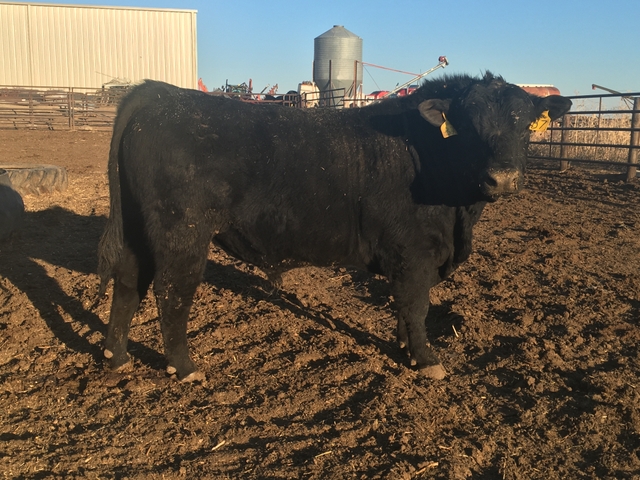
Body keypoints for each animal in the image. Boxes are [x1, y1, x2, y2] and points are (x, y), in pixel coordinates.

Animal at [98, 73, 572, 382]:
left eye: (525, 126)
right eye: (470, 126)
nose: (503, 179)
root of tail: (158, 94)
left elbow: (404, 309)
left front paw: (405, 349)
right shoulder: (415, 253)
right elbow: (416, 306)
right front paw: (426, 359)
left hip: (140, 229)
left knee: (128, 283)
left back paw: (116, 359)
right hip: (183, 233)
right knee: (171, 292)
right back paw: (185, 368)